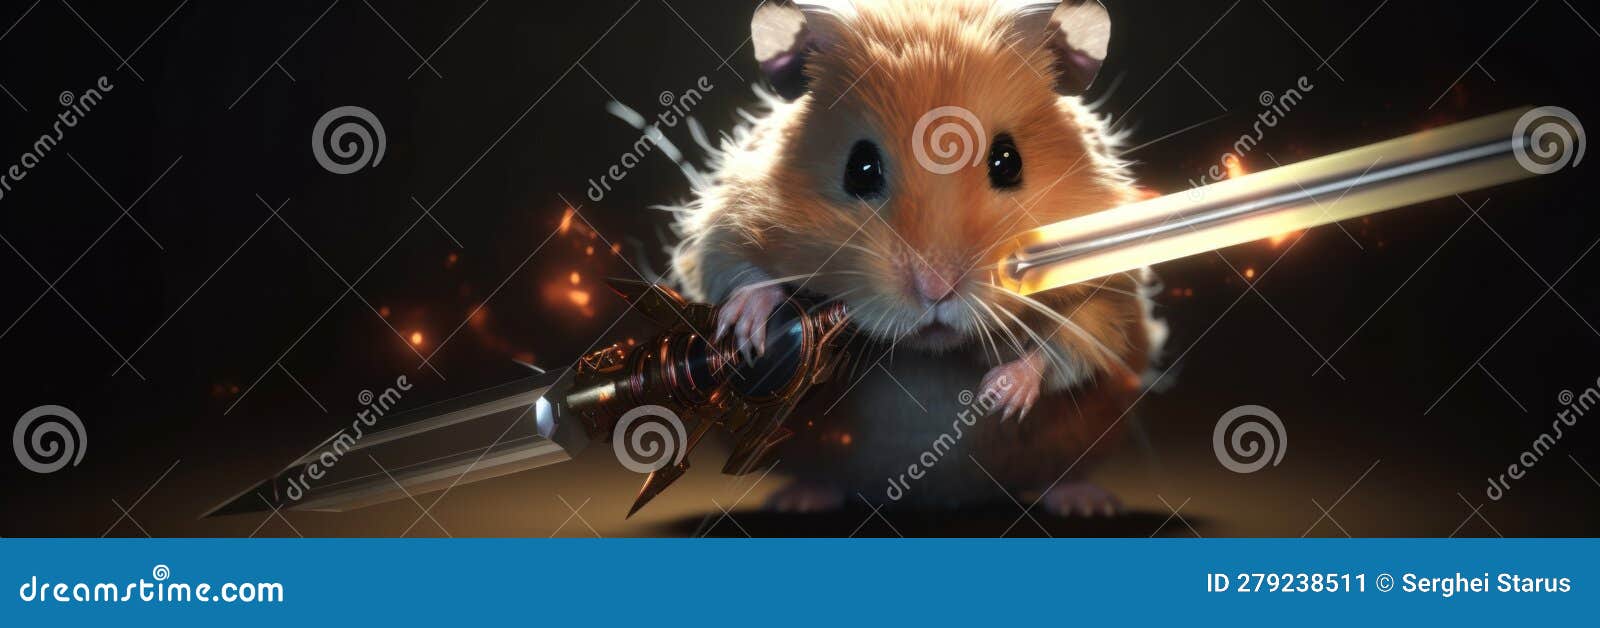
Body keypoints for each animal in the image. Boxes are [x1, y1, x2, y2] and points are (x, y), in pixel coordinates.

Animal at [666, 0, 1166, 515]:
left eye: (1008, 161)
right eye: (860, 168)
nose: (936, 291)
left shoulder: (1115, 283)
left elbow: (1076, 338)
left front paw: (996, 394)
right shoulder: (727, 216)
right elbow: (733, 268)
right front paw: (748, 330)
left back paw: (1087, 502)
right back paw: (797, 499)